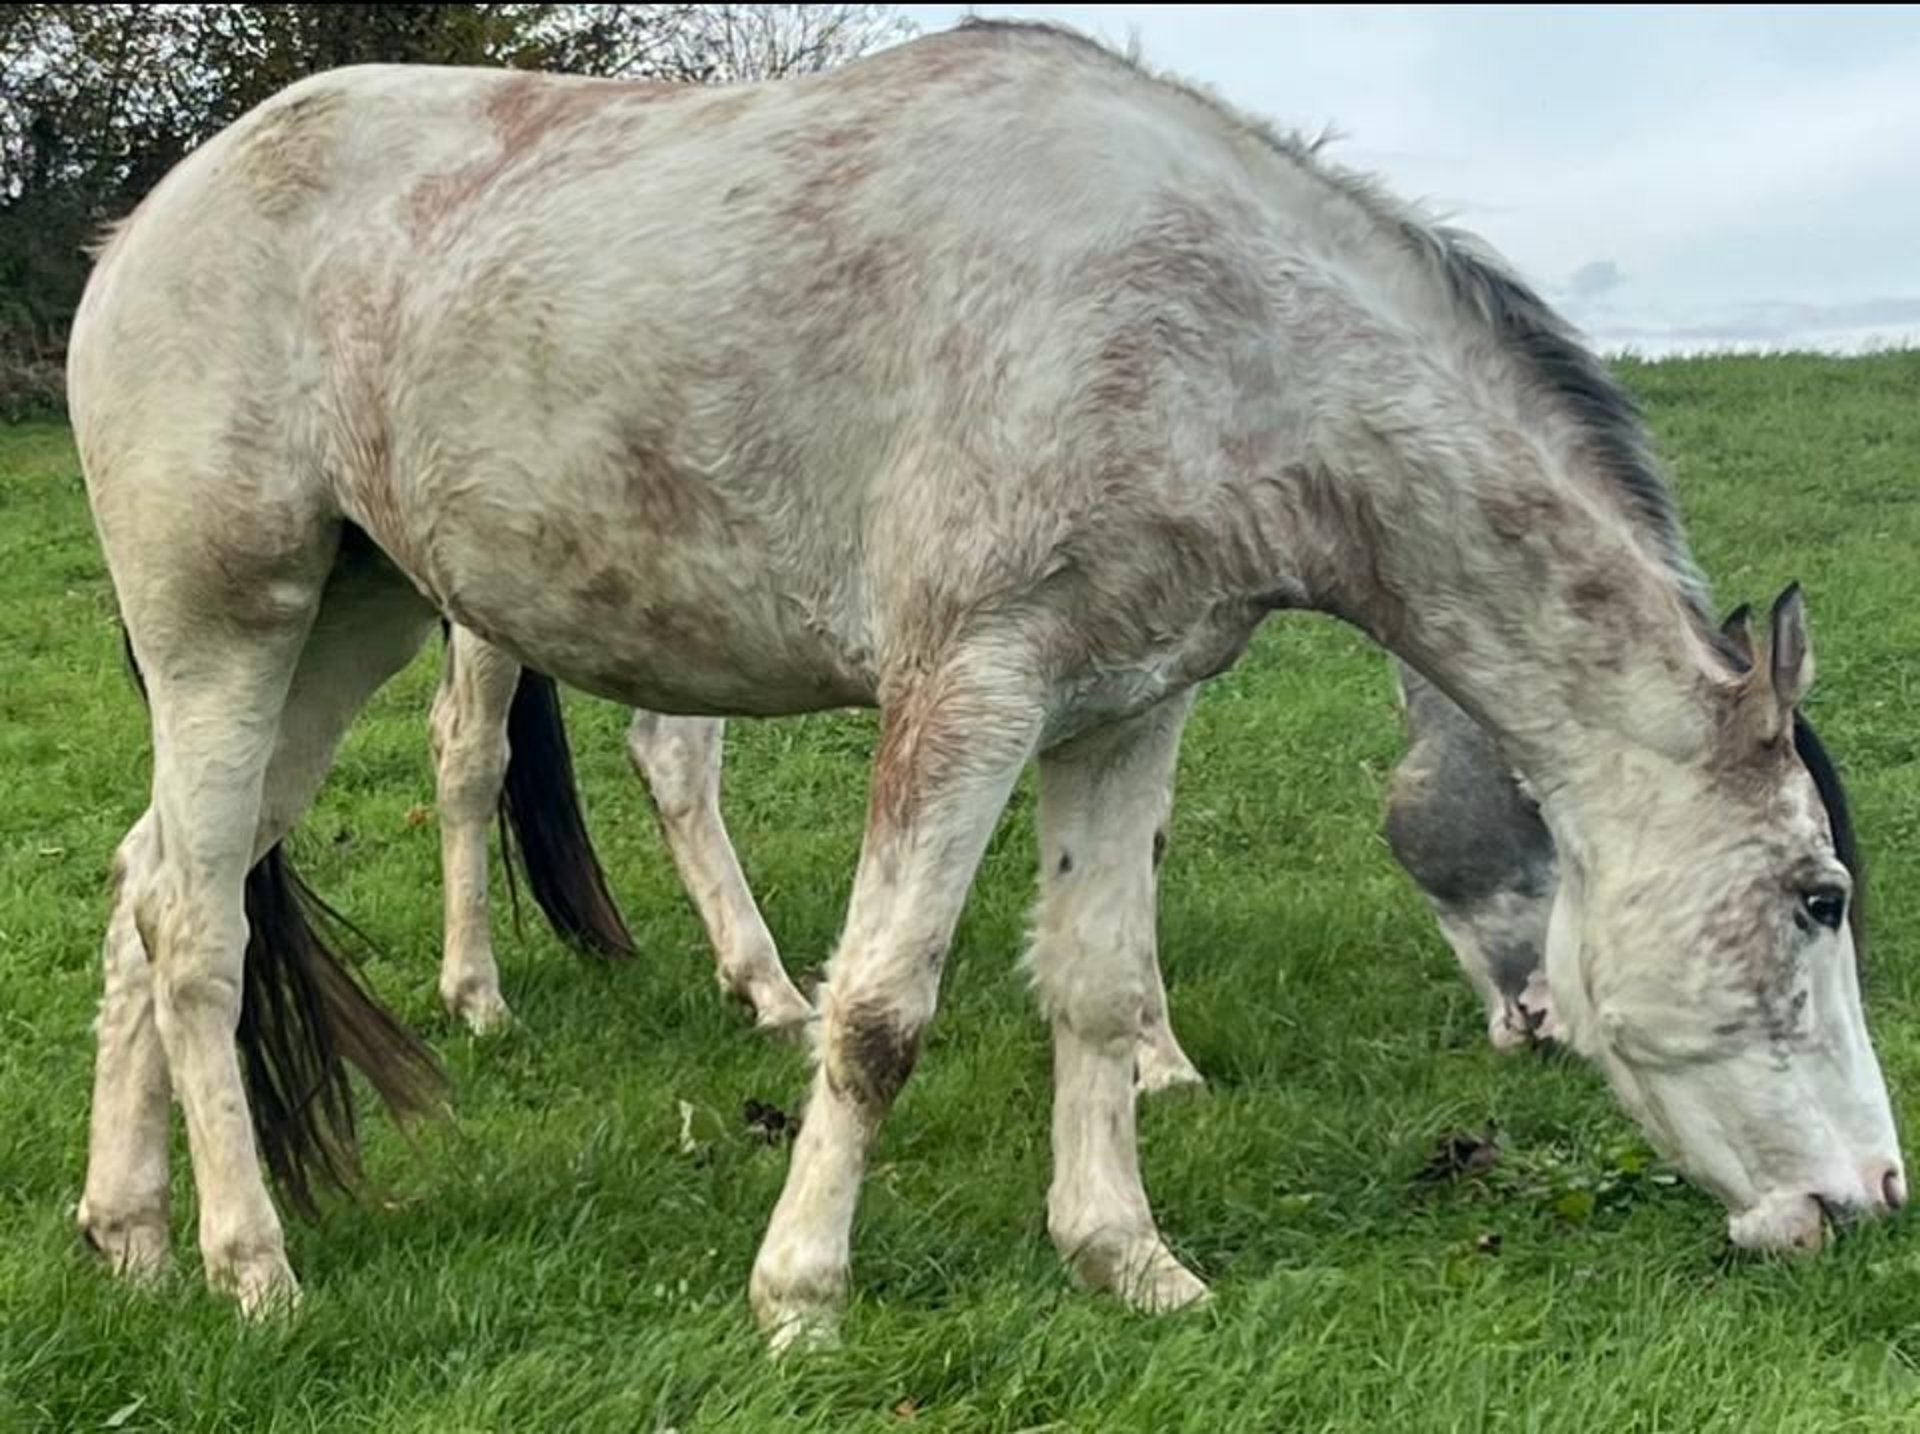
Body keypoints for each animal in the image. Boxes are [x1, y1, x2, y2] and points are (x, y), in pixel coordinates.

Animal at [65, 18, 1902, 1350]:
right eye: (1817, 897)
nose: (1874, 1198)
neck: (1199, 328)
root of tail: (148, 221)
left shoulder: (1125, 706)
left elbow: (1094, 980)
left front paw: (1130, 1260)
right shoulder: (969, 692)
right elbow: (880, 1009)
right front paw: (801, 1300)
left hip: (343, 630)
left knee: (152, 883)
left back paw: (131, 1235)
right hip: (230, 635)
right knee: (203, 931)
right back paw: (252, 1266)